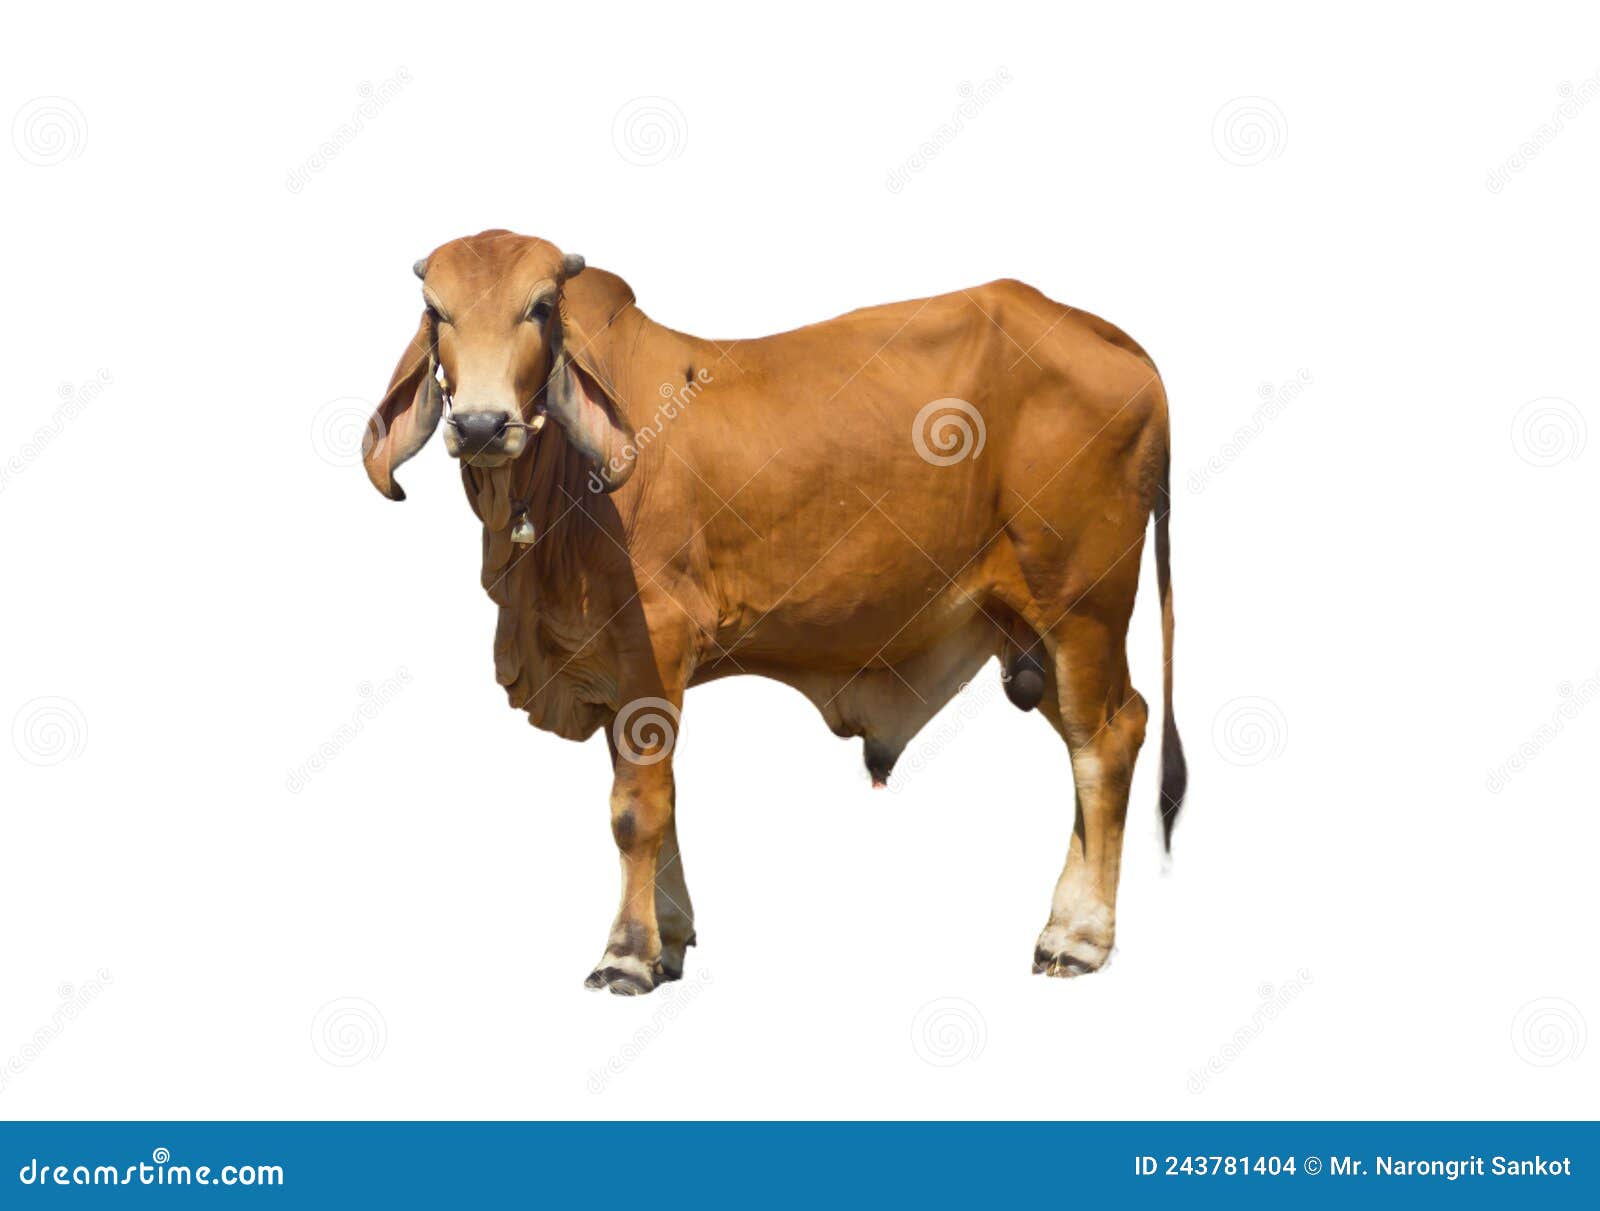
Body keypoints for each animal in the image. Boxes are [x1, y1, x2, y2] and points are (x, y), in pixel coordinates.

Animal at [362, 229, 1186, 995]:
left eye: (539, 306)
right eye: (436, 311)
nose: (479, 425)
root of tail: (1113, 340)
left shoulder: (652, 643)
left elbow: (637, 809)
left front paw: (626, 954)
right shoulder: (618, 672)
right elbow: (663, 800)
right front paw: (668, 940)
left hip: (1083, 607)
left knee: (1106, 742)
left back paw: (1080, 936)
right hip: (1026, 628)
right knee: (1094, 736)